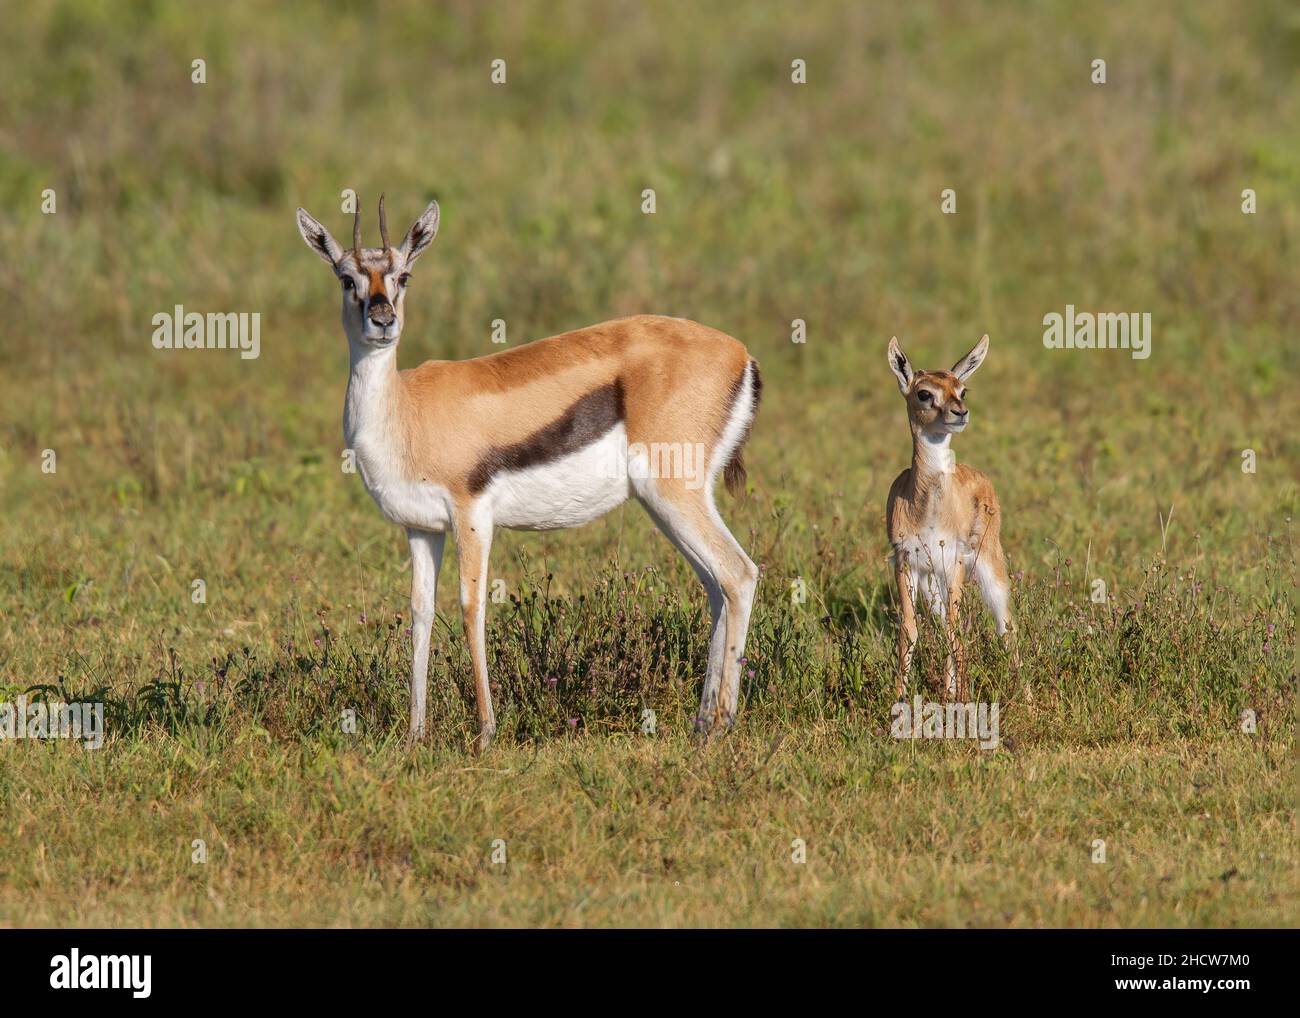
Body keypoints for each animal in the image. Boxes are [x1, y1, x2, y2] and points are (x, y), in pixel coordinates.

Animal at [295, 196, 761, 754]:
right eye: (347, 278)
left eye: (403, 276)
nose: (383, 320)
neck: (405, 411)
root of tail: (741, 354)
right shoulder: (421, 528)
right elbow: (421, 614)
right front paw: (414, 736)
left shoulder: (471, 515)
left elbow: (471, 608)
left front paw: (485, 733)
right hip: (668, 505)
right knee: (716, 587)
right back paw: (701, 723)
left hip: (674, 495)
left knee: (738, 574)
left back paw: (722, 726)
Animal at [885, 334, 1020, 702]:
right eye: (924, 393)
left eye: (962, 389)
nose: (960, 413)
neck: (927, 512)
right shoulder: (905, 562)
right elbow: (910, 629)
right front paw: (898, 700)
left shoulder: (954, 564)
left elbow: (955, 632)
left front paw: (963, 701)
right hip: (932, 582)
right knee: (946, 619)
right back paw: (947, 692)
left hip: (986, 567)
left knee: (1005, 625)